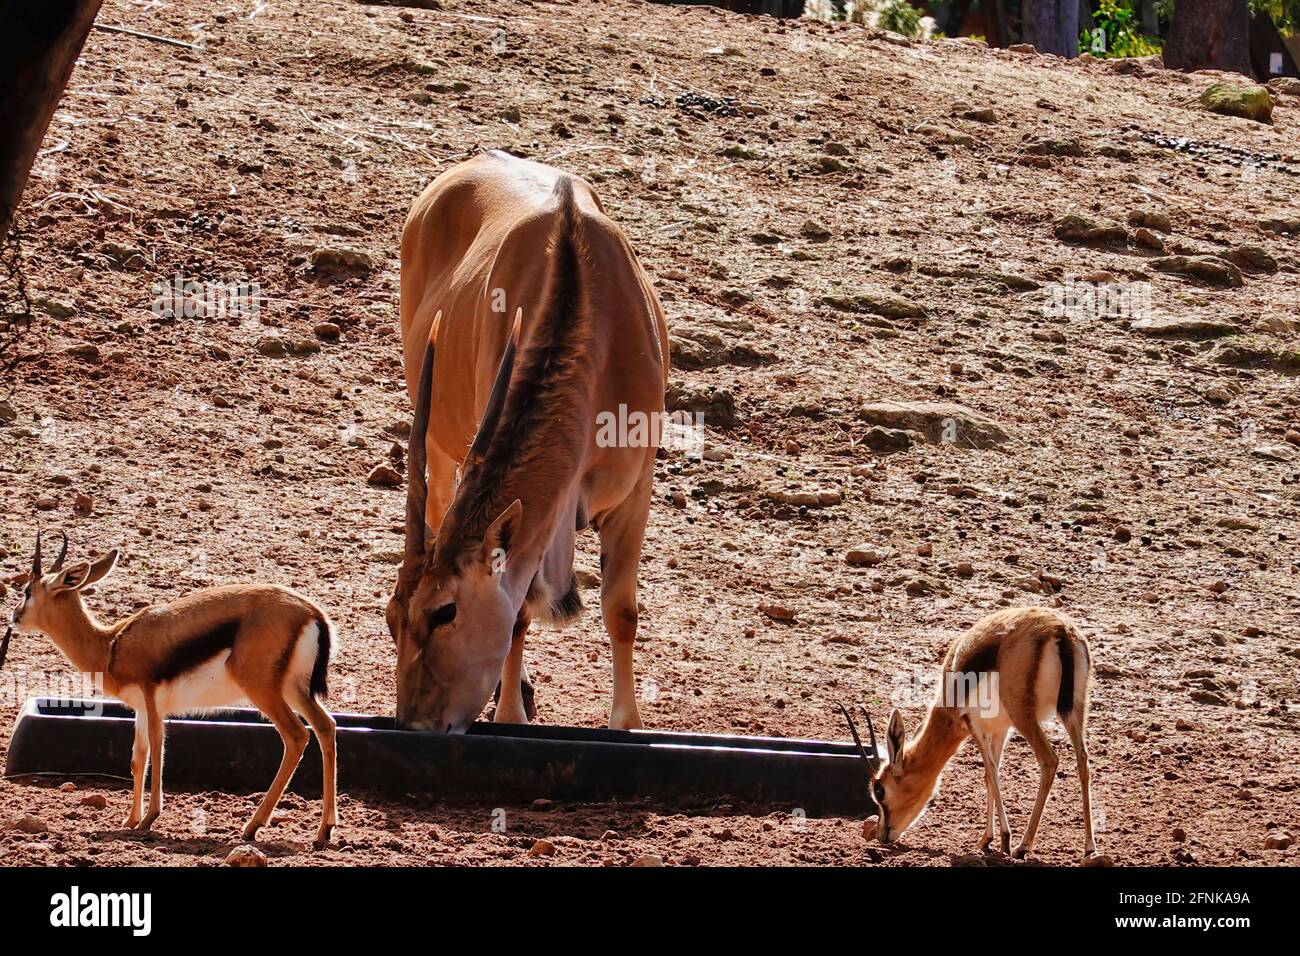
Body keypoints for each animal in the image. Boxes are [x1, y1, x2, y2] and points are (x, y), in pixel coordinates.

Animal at [6, 532, 338, 848]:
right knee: (326, 726)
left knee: (297, 735)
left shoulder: (153, 701)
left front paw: (149, 818)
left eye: (27, 591)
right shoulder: (140, 708)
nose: (14, 617)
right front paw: (130, 820)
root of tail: (312, 612)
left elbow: (157, 748)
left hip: (265, 691)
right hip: (294, 690)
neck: (111, 645)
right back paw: (324, 830)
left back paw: (253, 826)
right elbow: (137, 757)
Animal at [388, 150, 669, 733]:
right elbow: (517, 614)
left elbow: (622, 611)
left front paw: (626, 723)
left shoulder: (635, 493)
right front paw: (511, 714)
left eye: (444, 611)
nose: (415, 725)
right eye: (391, 620)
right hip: (441, 444)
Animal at [842, 607, 1096, 859]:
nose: (882, 835)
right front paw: (987, 840)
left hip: (1023, 715)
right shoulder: (1000, 730)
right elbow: (992, 775)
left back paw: (1022, 847)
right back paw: (1089, 847)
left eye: (880, 790)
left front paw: (1003, 840)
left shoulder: (975, 726)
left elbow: (990, 774)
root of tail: (1059, 629)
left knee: (1049, 760)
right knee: (1083, 760)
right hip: (1074, 710)